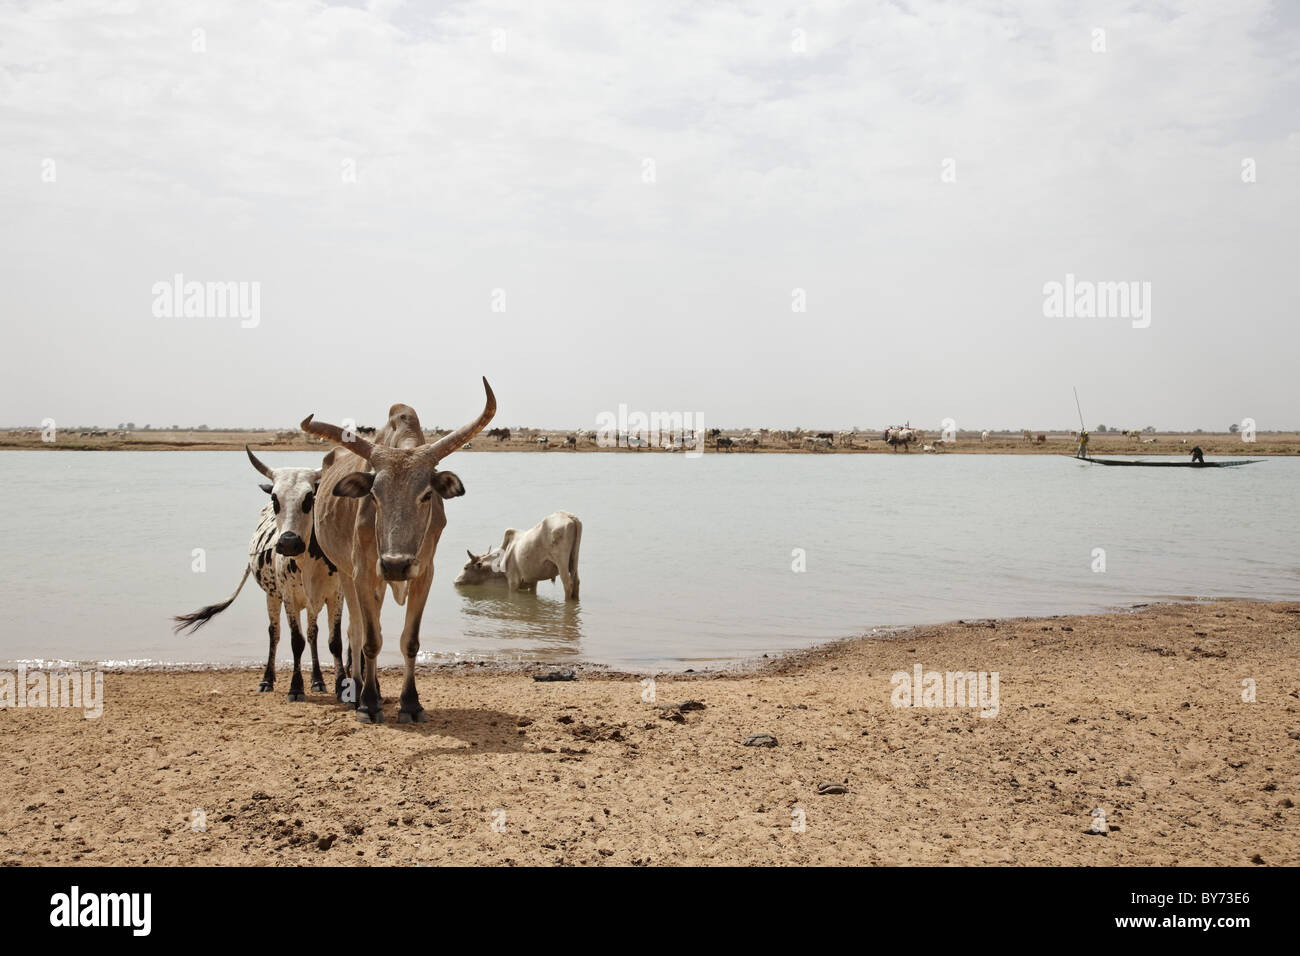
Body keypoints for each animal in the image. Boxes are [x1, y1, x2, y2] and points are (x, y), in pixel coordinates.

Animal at [173, 447, 345, 701]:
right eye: (275, 499)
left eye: (309, 497)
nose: (288, 542)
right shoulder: (288, 597)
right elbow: (296, 642)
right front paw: (295, 688)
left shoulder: (336, 596)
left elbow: (335, 642)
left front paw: (343, 687)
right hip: (272, 596)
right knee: (275, 633)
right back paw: (267, 680)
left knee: (312, 633)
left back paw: (317, 681)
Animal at [299, 379, 495, 723]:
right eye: (374, 496)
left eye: (427, 495)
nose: (394, 565)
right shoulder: (363, 572)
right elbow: (369, 640)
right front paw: (367, 703)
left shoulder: (423, 572)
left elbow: (410, 641)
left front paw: (410, 703)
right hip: (348, 576)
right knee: (356, 631)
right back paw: (359, 690)